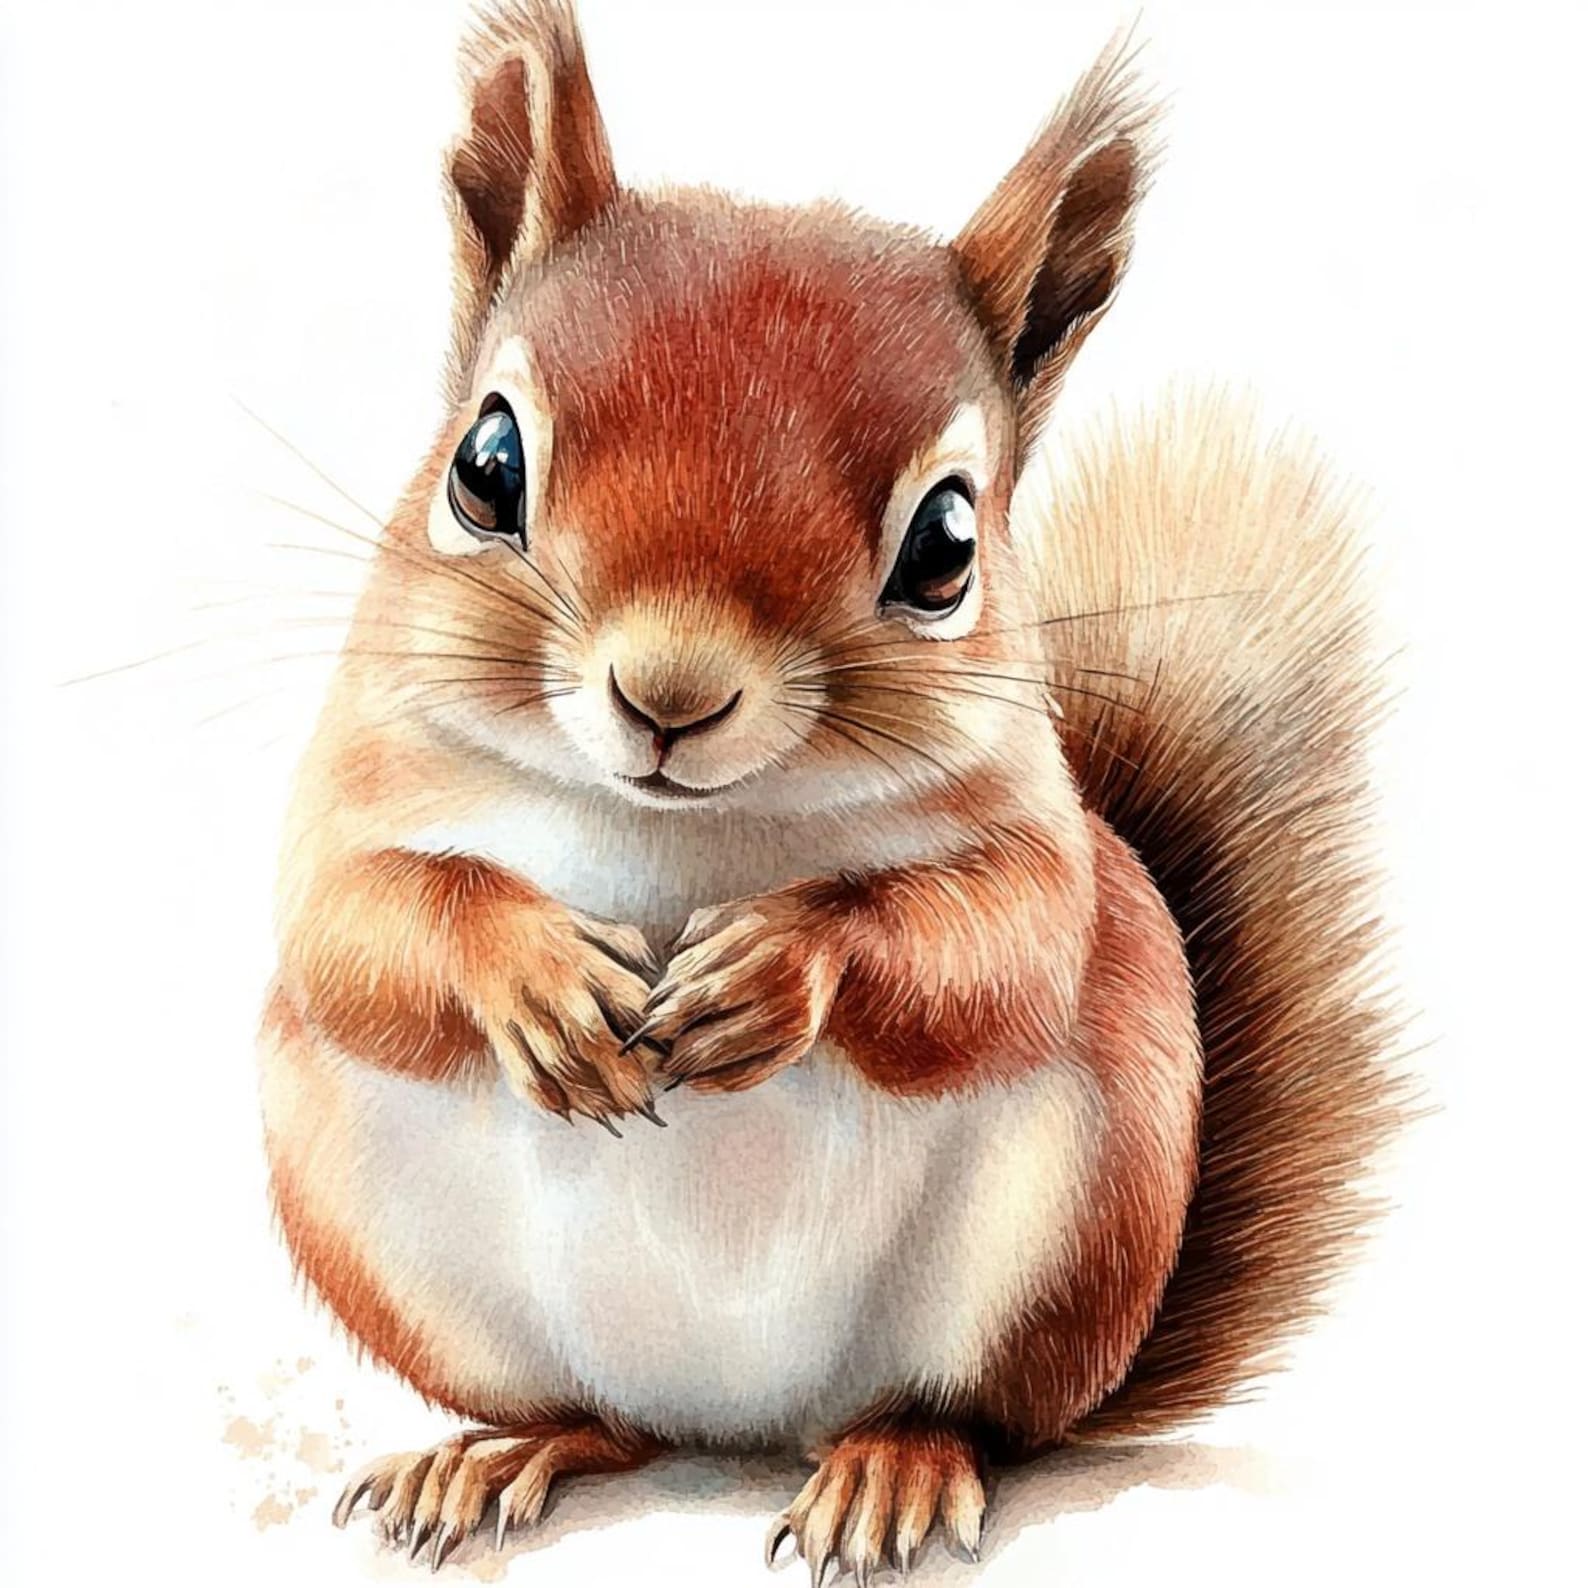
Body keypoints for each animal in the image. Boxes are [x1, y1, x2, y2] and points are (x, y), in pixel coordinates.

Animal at [259, 1, 1405, 1577]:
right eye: (486, 462)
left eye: (947, 544)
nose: (669, 692)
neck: (684, 831)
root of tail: (733, 1423)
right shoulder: (355, 783)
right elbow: (352, 923)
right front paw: (536, 976)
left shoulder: (1041, 838)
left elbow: (1003, 945)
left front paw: (779, 966)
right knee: (600, 1417)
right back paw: (502, 1451)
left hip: (1064, 1238)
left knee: (975, 1413)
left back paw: (892, 1471)